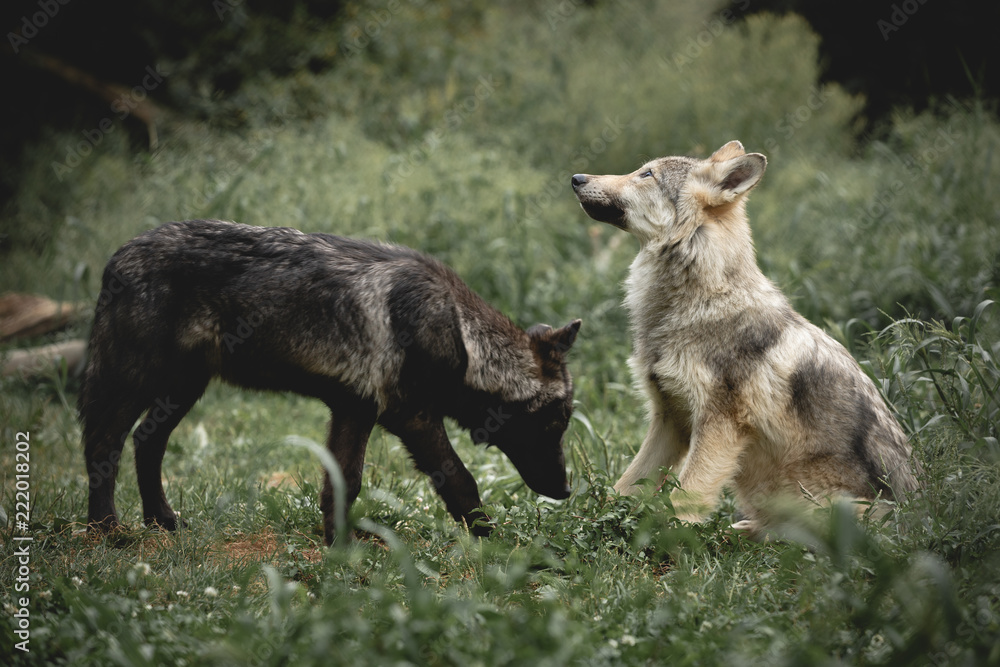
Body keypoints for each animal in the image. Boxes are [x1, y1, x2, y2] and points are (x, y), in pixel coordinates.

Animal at [79, 220, 580, 545]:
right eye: (556, 423)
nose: (566, 491)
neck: (461, 333)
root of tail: (117, 257)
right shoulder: (413, 418)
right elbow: (461, 479)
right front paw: (492, 539)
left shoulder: (354, 411)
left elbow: (343, 484)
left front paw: (338, 549)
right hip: (132, 384)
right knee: (104, 447)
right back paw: (108, 531)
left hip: (183, 390)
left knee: (146, 442)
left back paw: (161, 521)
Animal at [572, 141, 920, 533]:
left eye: (646, 174)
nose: (576, 178)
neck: (699, 301)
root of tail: (919, 515)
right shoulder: (670, 420)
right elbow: (626, 484)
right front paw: (588, 523)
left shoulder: (720, 426)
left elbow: (683, 499)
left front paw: (665, 541)